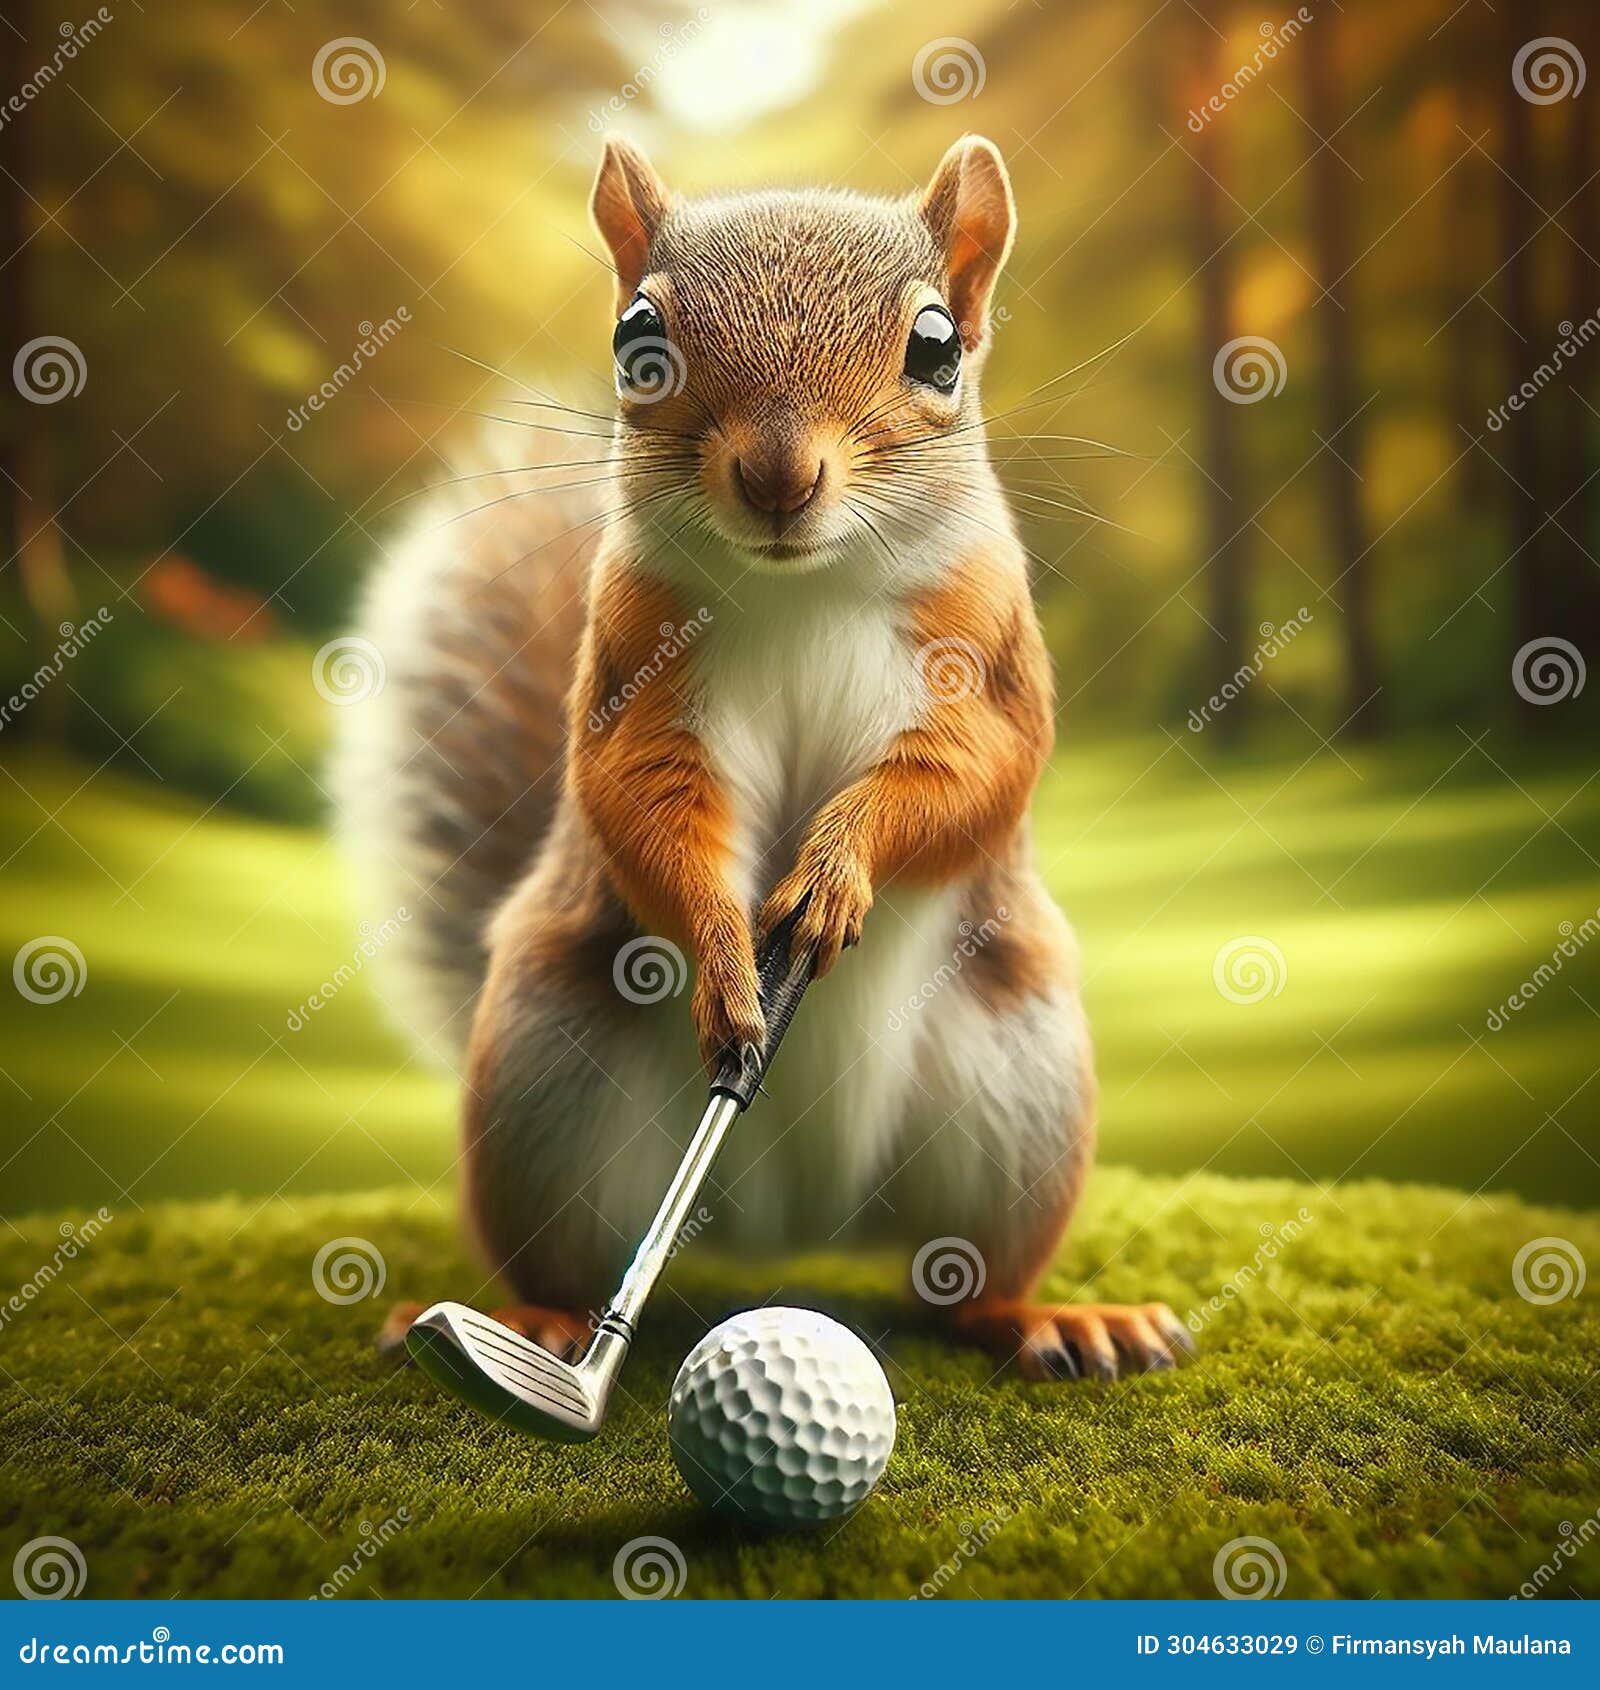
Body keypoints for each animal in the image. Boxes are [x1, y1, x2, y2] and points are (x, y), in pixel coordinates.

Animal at [342, 135, 1191, 1382]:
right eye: (636, 338)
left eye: (936, 346)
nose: (779, 477)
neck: (804, 585)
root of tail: (788, 1223)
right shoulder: (640, 664)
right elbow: (638, 794)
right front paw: (726, 950)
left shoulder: (984, 654)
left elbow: (970, 773)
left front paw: (836, 872)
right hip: (544, 1088)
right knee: (568, 1256)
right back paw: (536, 1324)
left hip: (1018, 1092)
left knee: (963, 1278)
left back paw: (1052, 1318)